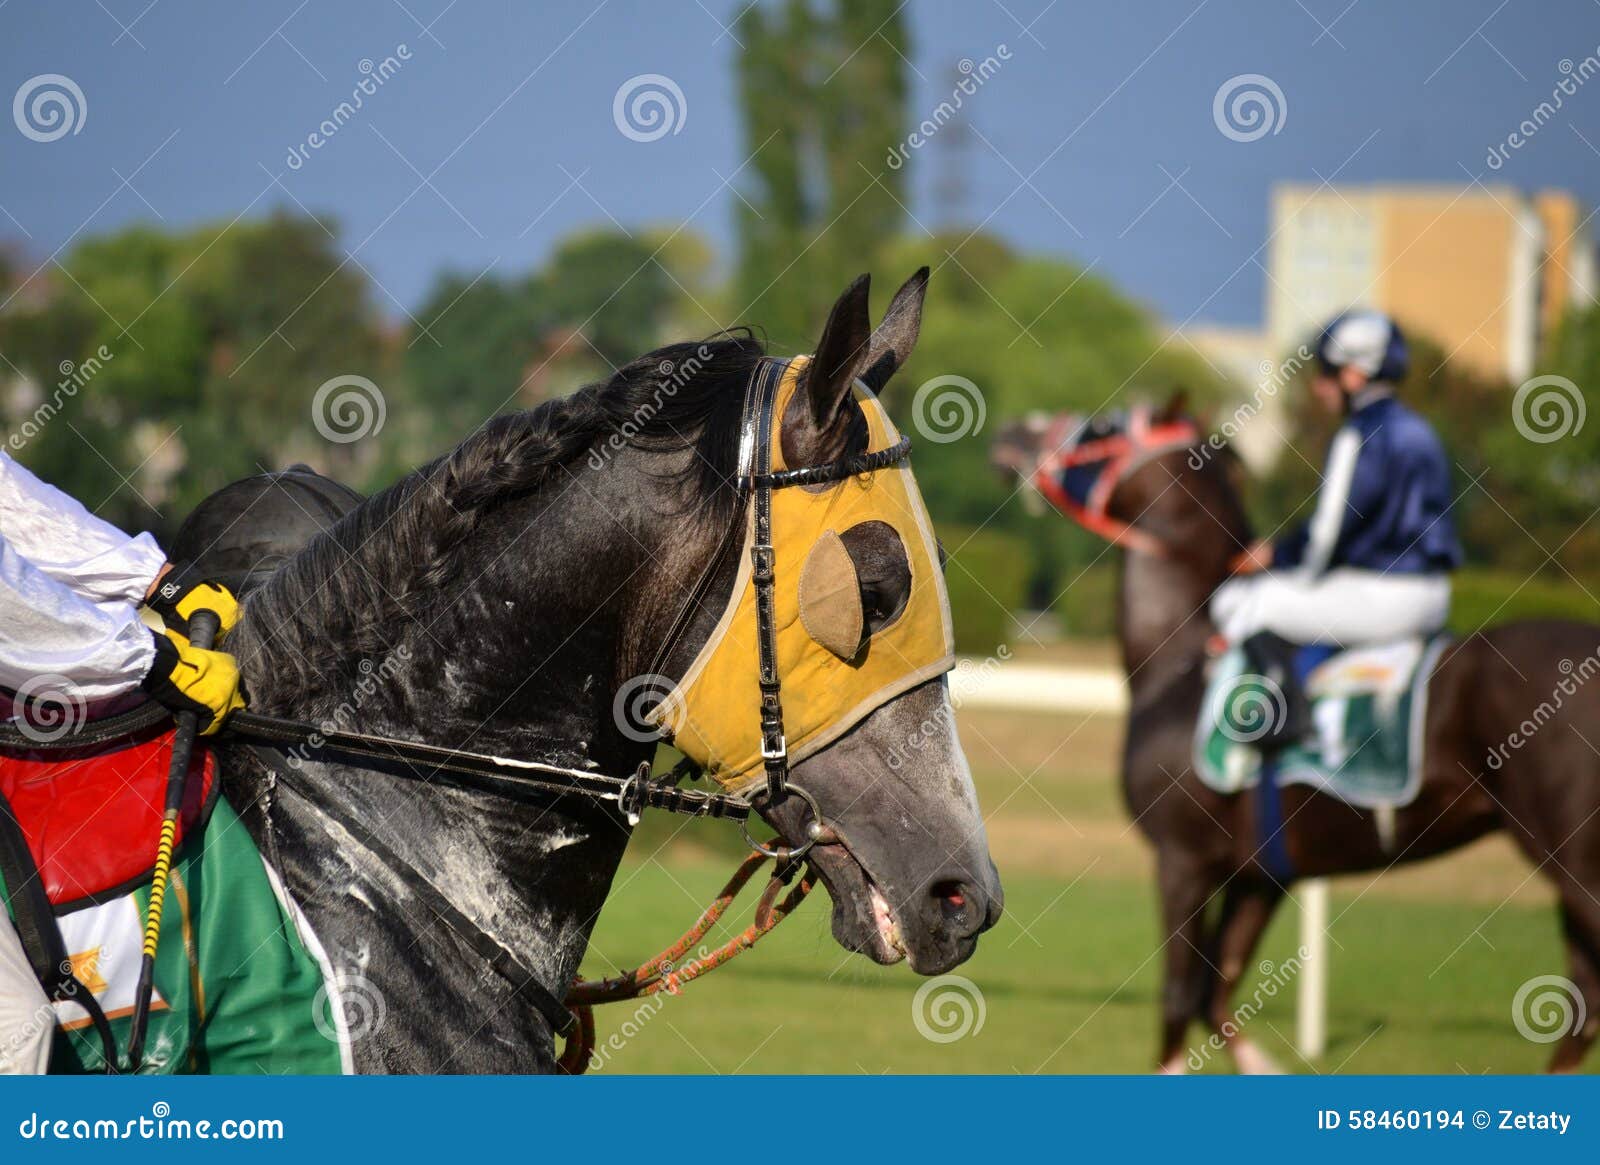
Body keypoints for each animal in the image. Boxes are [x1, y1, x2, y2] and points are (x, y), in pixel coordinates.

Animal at [991, 396, 1600, 1074]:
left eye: (1103, 426)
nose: (1012, 432)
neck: (1181, 660)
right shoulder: (1261, 876)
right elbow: (1216, 992)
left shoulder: (1183, 860)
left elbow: (1179, 994)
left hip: (1574, 861)